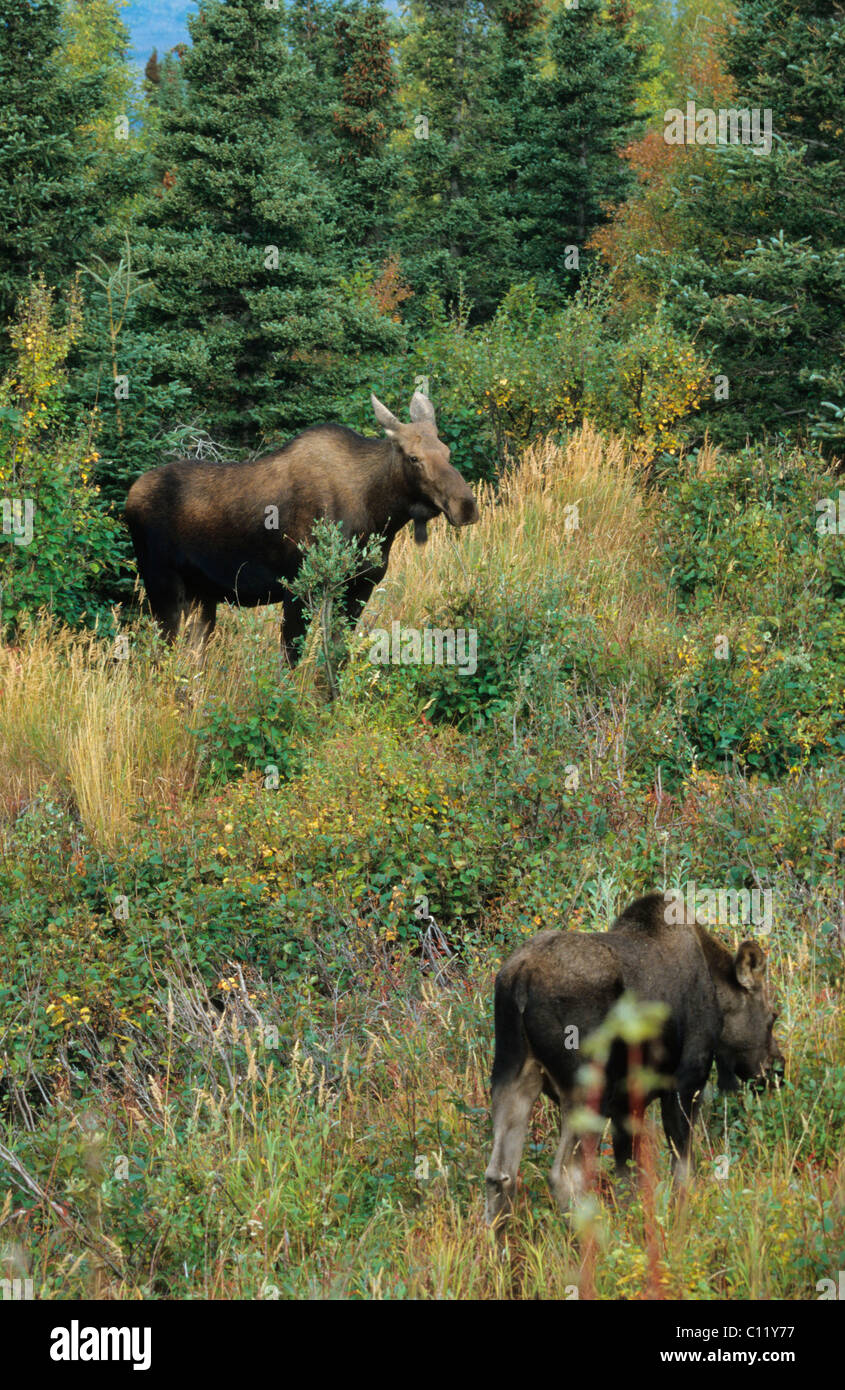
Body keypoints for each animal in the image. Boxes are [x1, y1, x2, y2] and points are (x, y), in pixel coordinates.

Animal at [124, 392, 478, 662]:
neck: (378, 516)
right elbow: (291, 663)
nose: (466, 505)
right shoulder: (298, 587)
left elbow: (336, 659)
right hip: (162, 586)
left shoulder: (360, 587)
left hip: (202, 596)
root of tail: (129, 497)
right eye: (414, 458)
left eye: (446, 451)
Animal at [484, 891, 784, 1226]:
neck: (718, 997)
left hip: (512, 1072)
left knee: (499, 1173)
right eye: (772, 1016)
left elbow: (626, 1176)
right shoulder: (685, 1083)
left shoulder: (626, 1103)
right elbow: (682, 1169)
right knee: (564, 1174)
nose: (776, 1068)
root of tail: (520, 979)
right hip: (587, 1087)